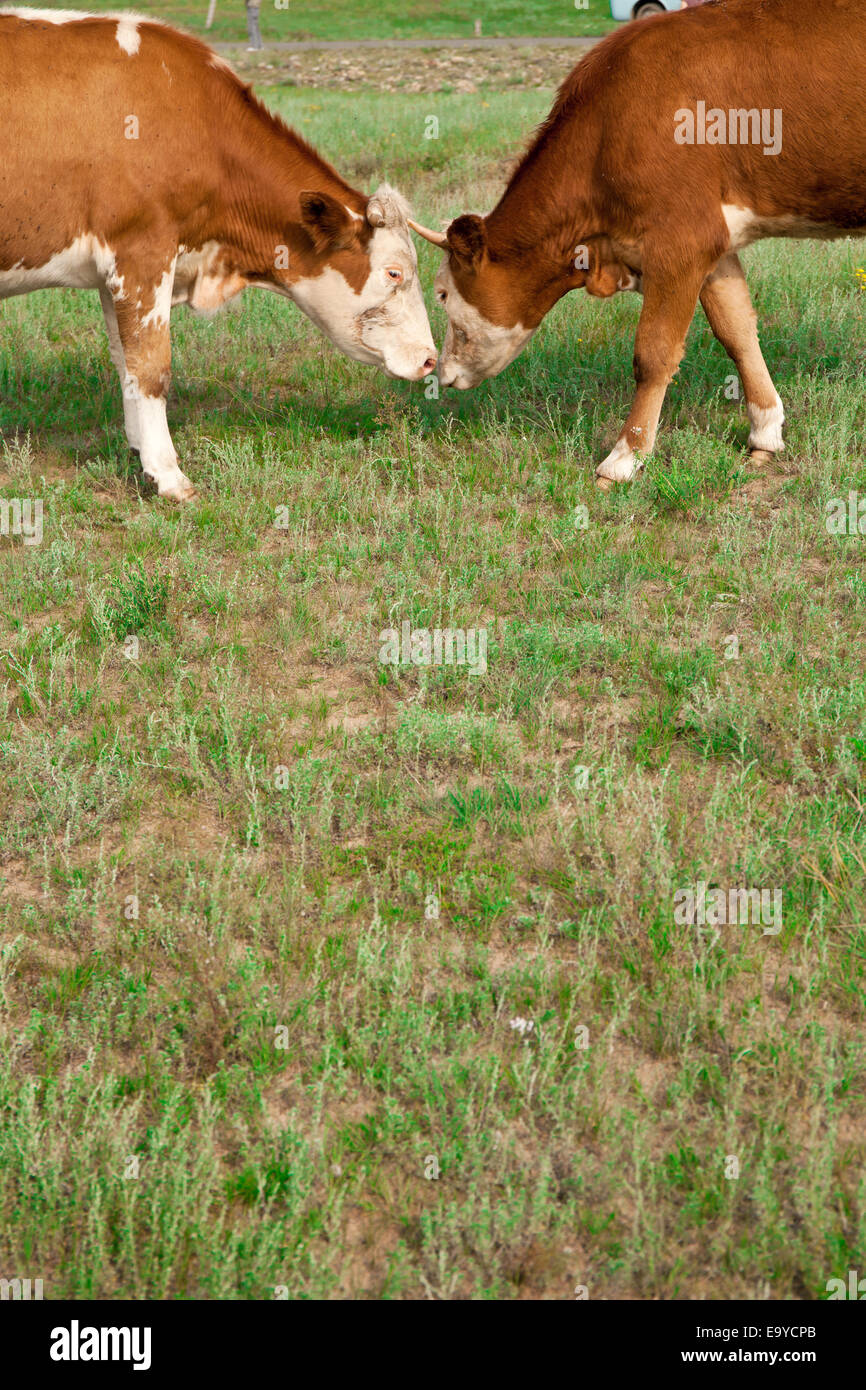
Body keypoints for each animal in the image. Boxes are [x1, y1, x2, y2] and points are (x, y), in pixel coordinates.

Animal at [0, 9, 437, 499]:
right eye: (395, 273)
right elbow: (151, 367)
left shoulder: (115, 273)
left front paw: (140, 454)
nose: (431, 358)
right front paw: (169, 476)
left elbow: (125, 362)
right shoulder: (143, 252)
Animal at [410, 0, 865, 488]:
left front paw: (624, 458)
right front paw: (764, 432)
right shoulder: (716, 244)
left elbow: (654, 353)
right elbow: (738, 332)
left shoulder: (680, 241)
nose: (441, 371)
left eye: (441, 294)